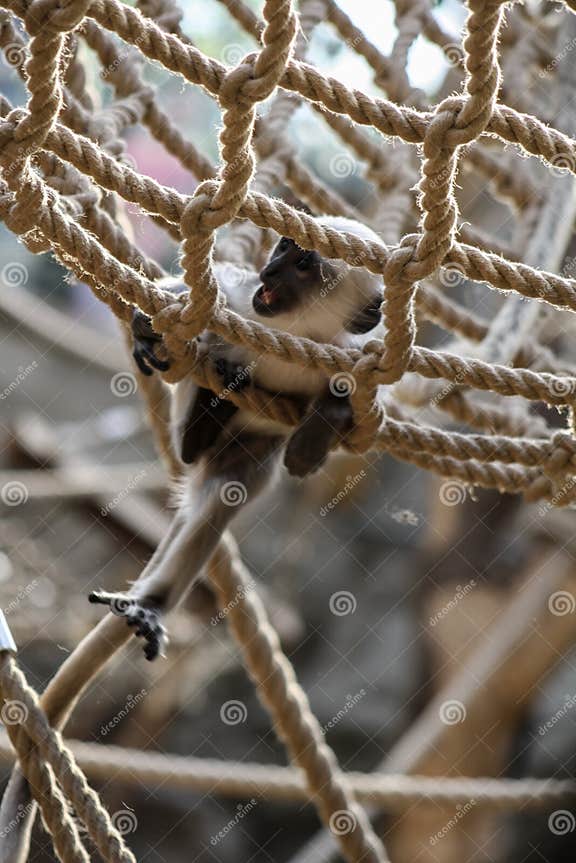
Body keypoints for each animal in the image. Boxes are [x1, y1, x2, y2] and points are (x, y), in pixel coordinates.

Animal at [90, 217, 385, 659]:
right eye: (285, 247)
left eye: (303, 266)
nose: (271, 271)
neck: (296, 330)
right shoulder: (247, 304)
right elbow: (211, 293)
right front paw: (146, 328)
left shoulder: (344, 350)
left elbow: (357, 416)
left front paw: (320, 428)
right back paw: (198, 427)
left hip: (249, 449)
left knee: (228, 490)